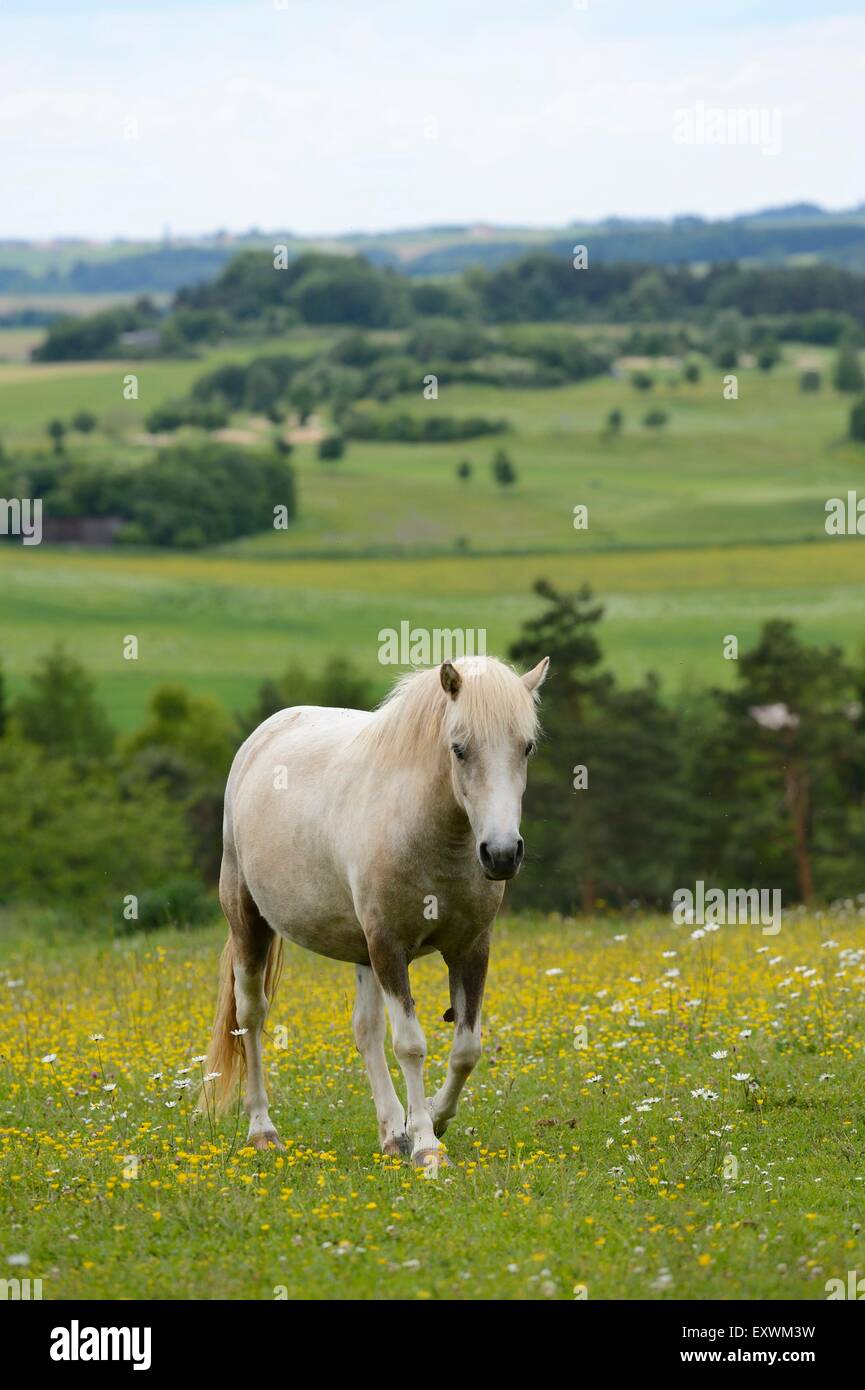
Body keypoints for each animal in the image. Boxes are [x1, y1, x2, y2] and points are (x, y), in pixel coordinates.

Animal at [200, 652, 549, 1168]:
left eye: (526, 747)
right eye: (459, 749)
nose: (502, 854)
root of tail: (263, 736)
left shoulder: (470, 948)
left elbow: (466, 1048)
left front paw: (433, 1120)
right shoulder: (389, 946)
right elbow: (411, 1045)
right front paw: (427, 1146)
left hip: (362, 951)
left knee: (365, 1032)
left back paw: (391, 1133)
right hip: (250, 925)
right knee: (252, 1017)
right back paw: (263, 1130)